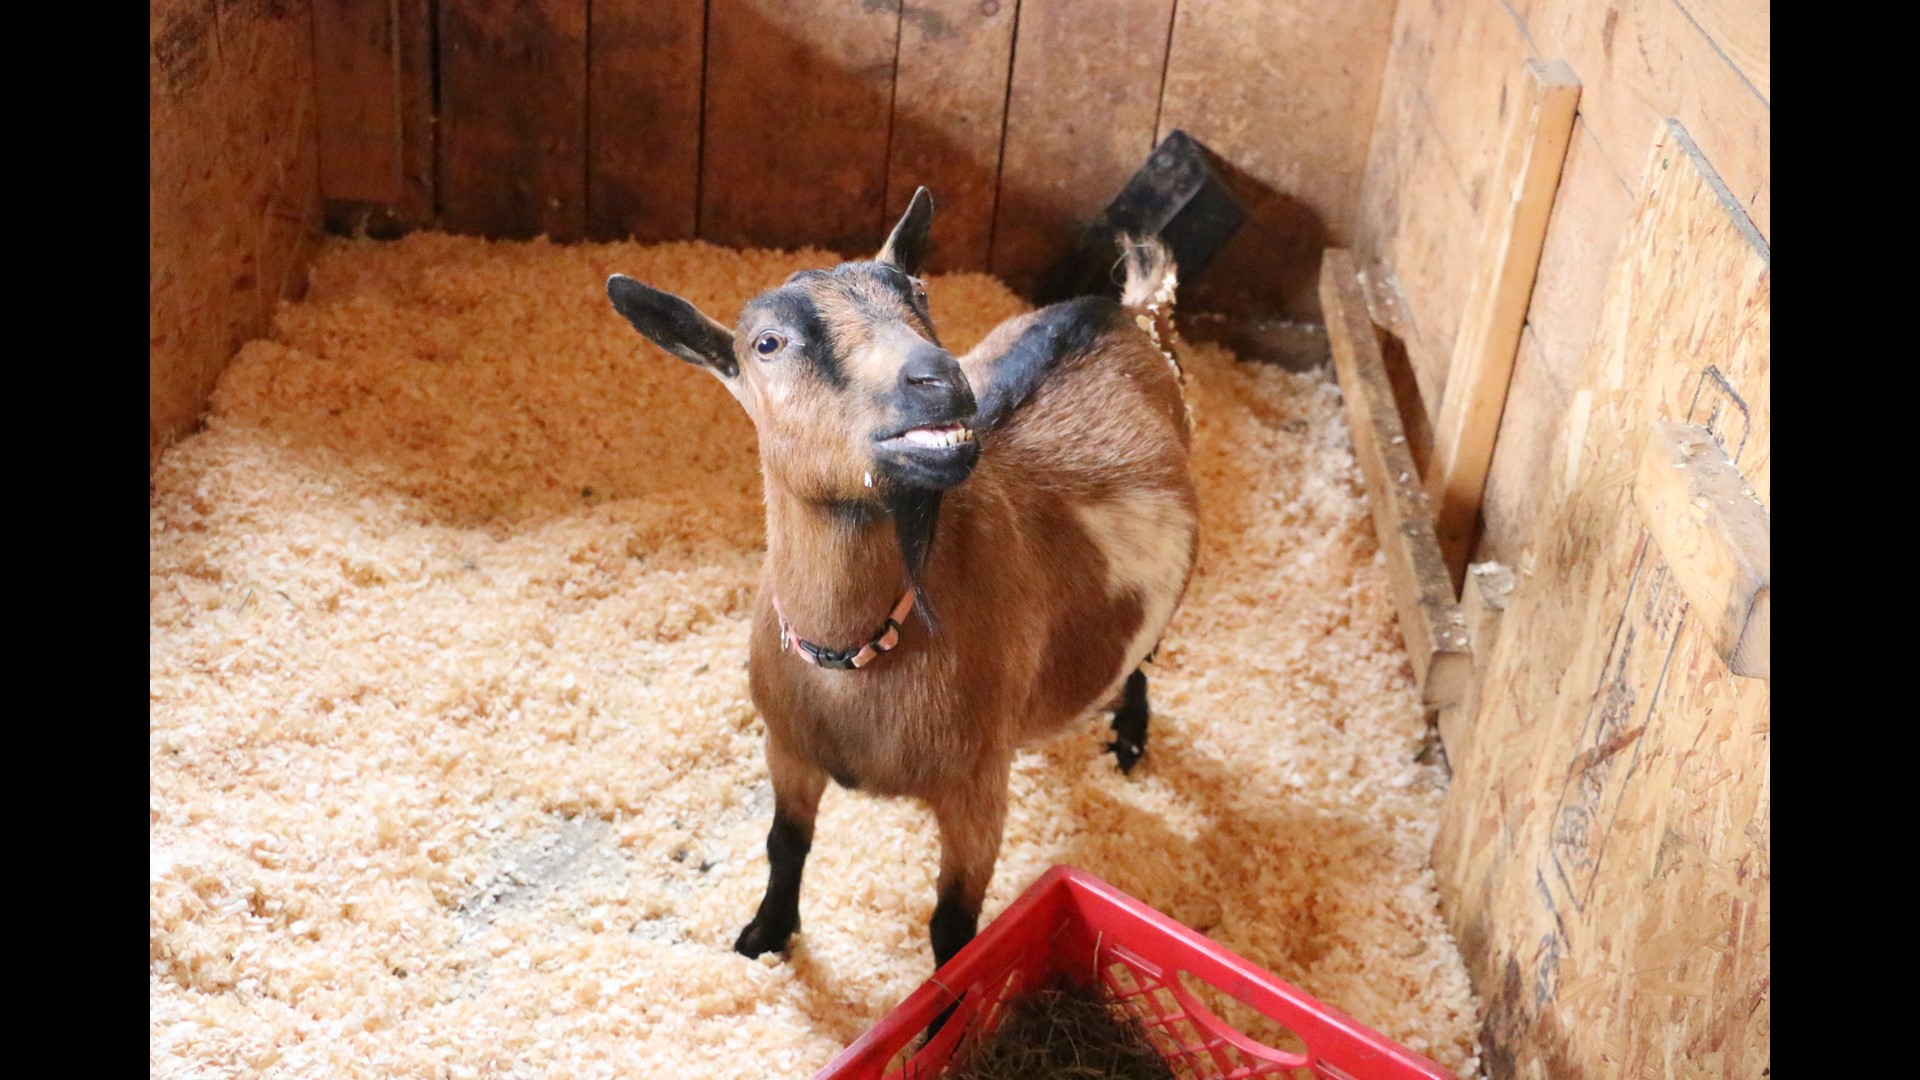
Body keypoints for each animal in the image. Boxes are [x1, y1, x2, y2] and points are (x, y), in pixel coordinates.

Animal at [604, 188, 1199, 978]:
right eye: (768, 344)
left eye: (919, 293)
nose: (939, 377)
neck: (859, 653)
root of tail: (1129, 312)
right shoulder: (788, 747)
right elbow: (785, 845)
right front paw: (764, 935)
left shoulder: (976, 788)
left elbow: (954, 926)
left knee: (1143, 656)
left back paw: (1129, 737)